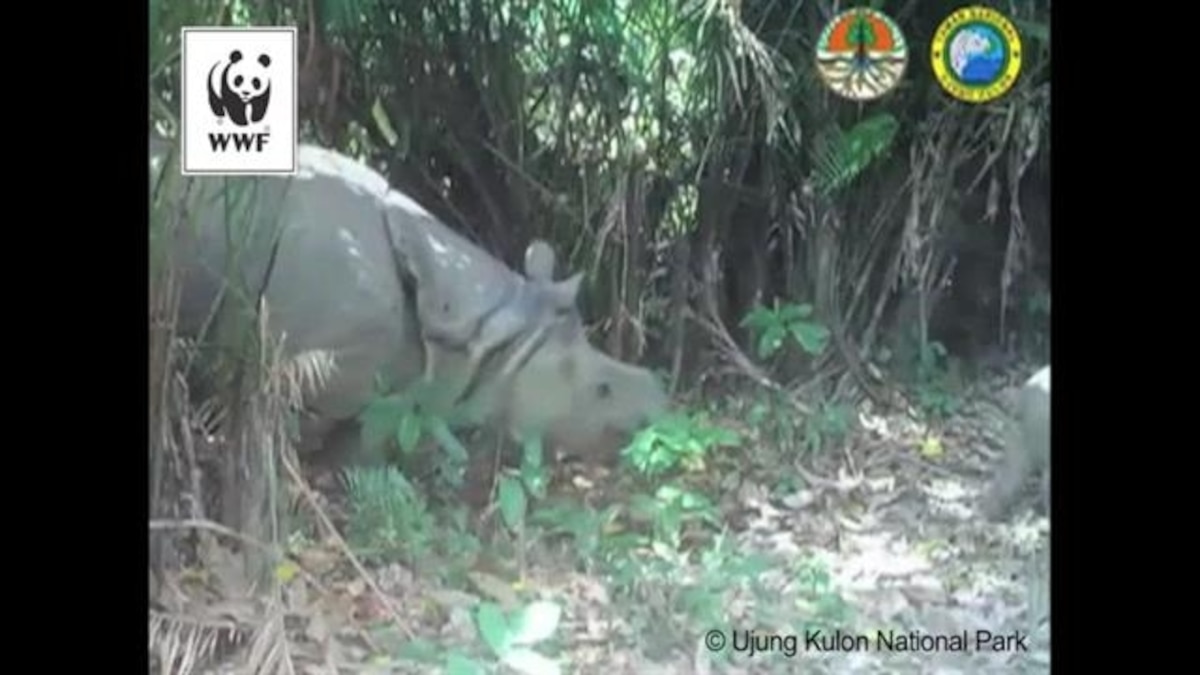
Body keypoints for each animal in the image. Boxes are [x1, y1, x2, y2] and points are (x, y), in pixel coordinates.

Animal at [150, 138, 668, 463]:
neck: (495, 333)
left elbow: (366, 441)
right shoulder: (298, 366)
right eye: (602, 390)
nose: (661, 405)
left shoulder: (390, 383)